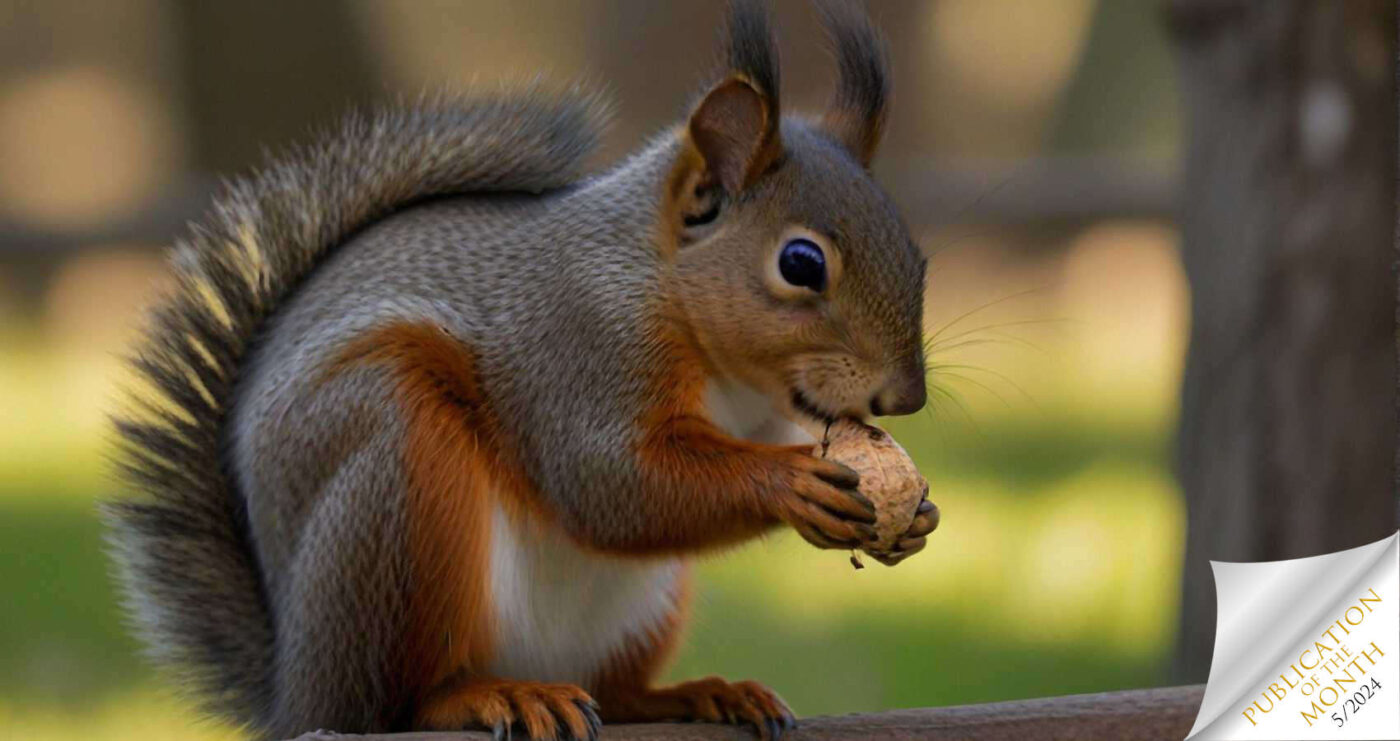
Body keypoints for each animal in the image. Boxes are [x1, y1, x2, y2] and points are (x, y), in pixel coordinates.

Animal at [104, 1, 933, 739]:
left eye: (918, 255)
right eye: (801, 263)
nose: (906, 397)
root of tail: (295, 693)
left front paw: (917, 511)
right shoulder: (579, 346)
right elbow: (611, 483)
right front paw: (793, 482)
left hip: (640, 607)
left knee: (616, 693)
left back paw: (698, 694)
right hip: (394, 487)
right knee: (397, 703)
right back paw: (487, 696)